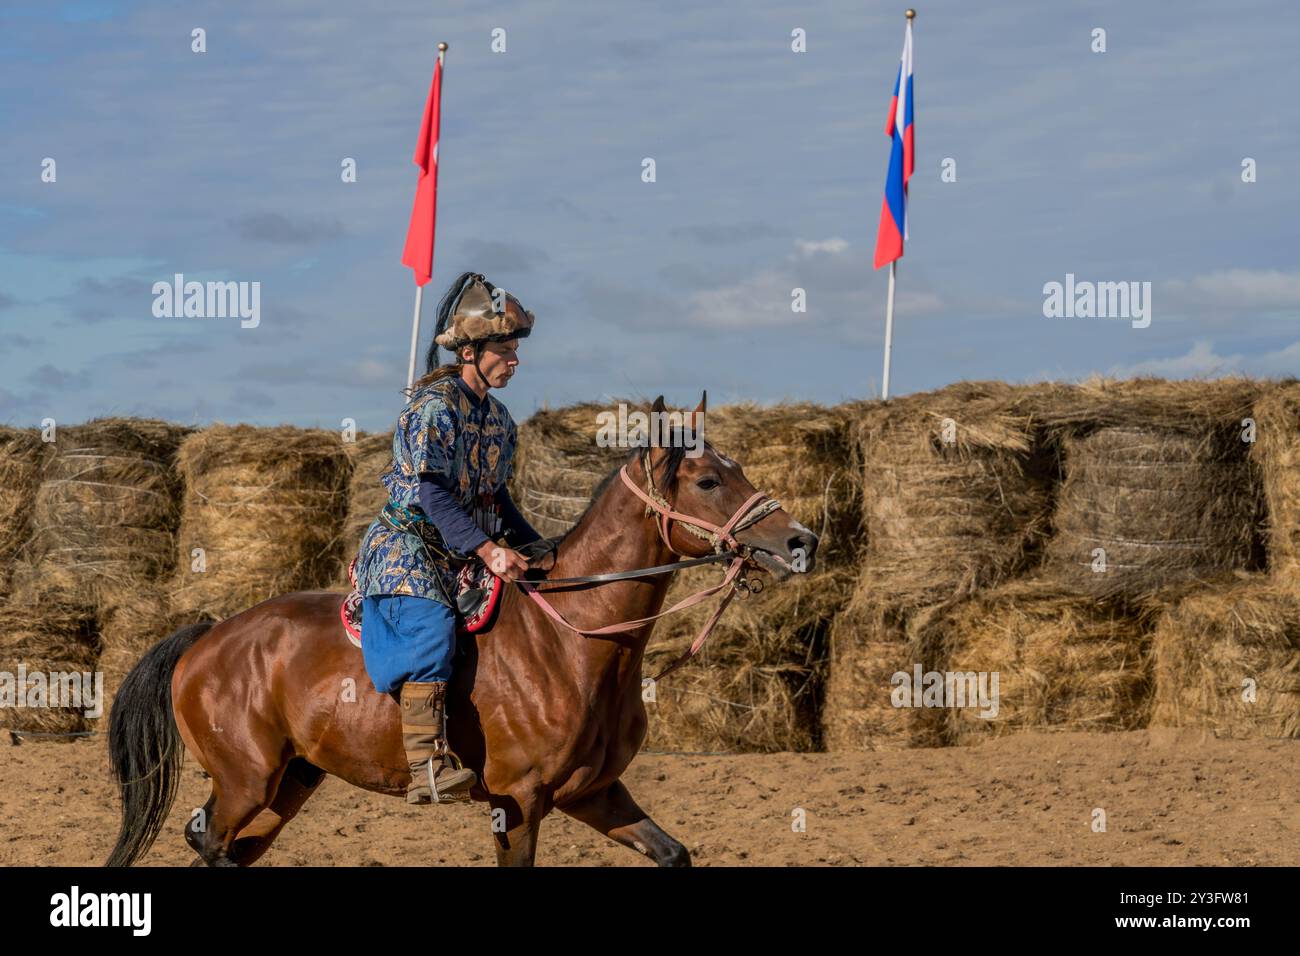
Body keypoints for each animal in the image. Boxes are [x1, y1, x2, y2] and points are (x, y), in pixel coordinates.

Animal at [105, 395, 819, 867]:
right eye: (709, 480)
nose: (801, 541)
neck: (577, 643)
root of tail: (205, 638)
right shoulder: (517, 802)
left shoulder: (594, 793)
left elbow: (672, 853)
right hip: (246, 781)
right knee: (210, 840)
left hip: (291, 780)